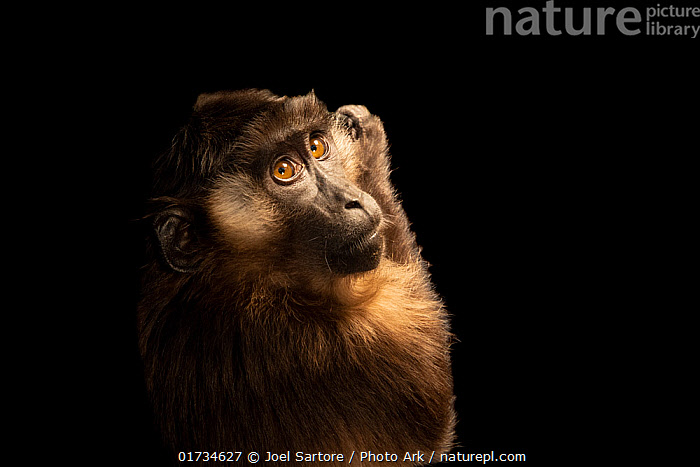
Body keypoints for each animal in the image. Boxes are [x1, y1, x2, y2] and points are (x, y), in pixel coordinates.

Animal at [137, 89, 456, 466]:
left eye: (317, 147)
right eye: (284, 170)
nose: (353, 199)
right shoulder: (348, 341)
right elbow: (423, 441)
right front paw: (370, 151)